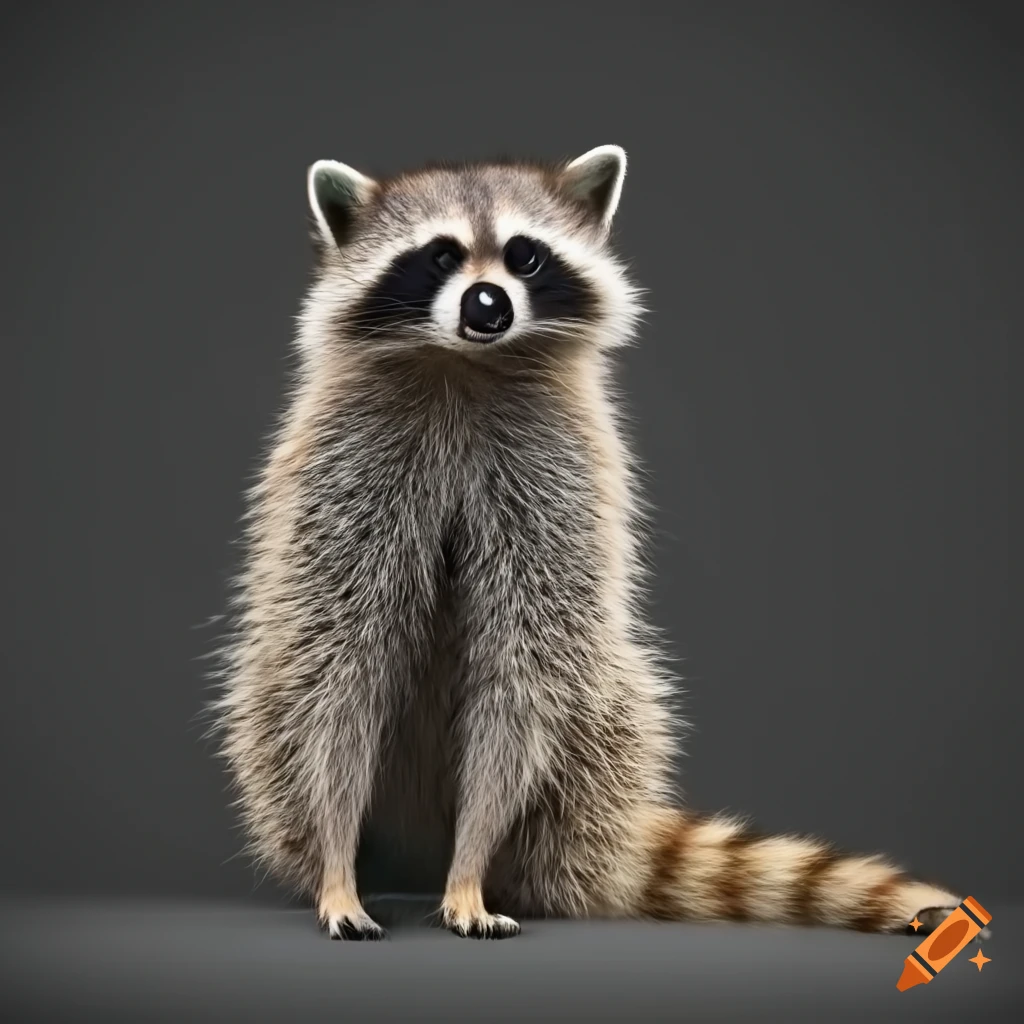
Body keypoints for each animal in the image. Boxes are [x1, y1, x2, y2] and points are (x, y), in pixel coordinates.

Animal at [214, 146, 969, 941]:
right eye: (440, 255)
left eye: (525, 254)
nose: (488, 305)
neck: (466, 365)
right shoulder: (348, 477)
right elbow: (339, 670)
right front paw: (338, 869)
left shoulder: (554, 481)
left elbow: (527, 667)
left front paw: (469, 873)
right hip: (267, 739)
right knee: (277, 699)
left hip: (600, 741)